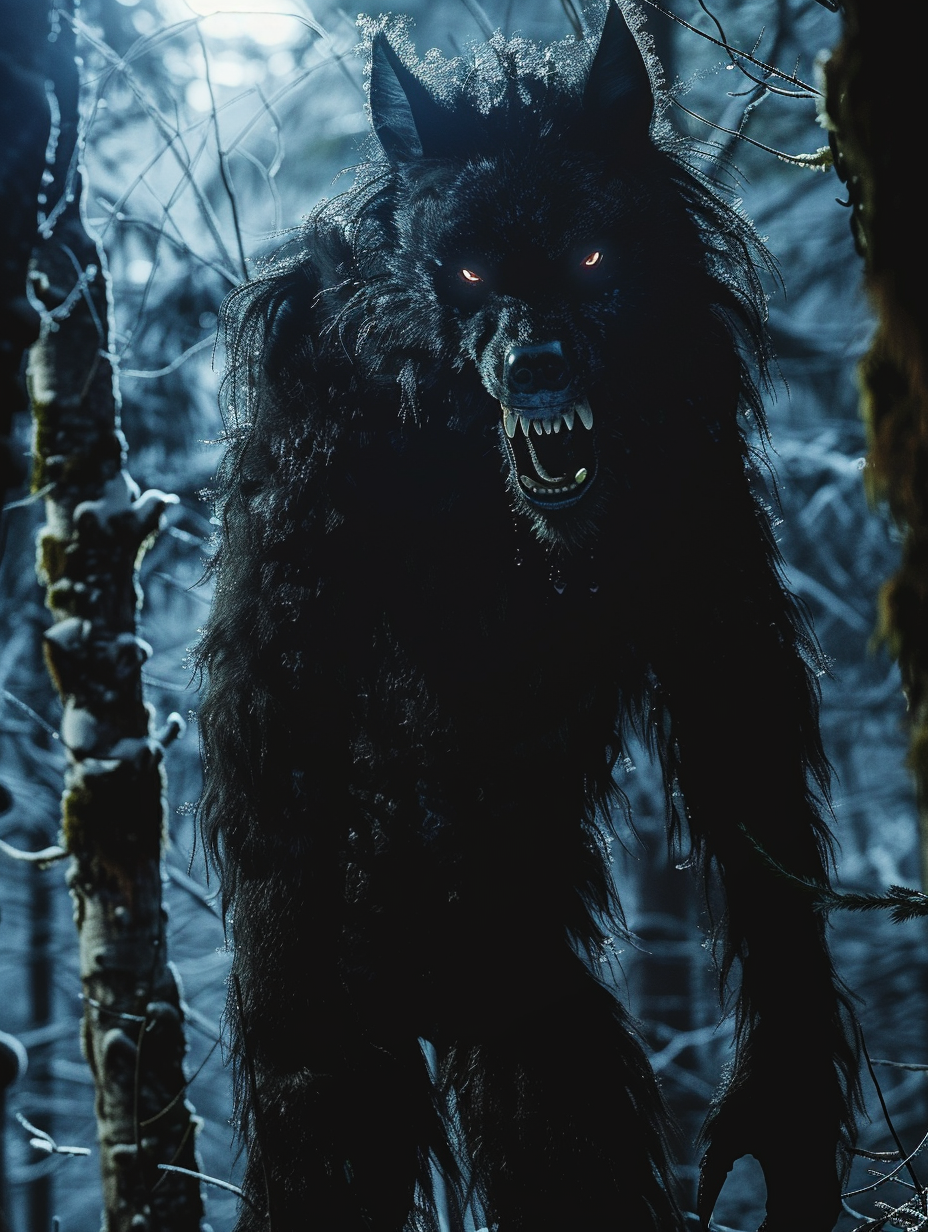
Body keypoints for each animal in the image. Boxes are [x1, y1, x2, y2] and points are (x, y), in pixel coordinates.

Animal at [198, 4, 859, 1229]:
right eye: (464, 268)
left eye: (592, 256)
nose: (539, 360)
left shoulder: (714, 562)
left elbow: (755, 801)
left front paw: (781, 1106)